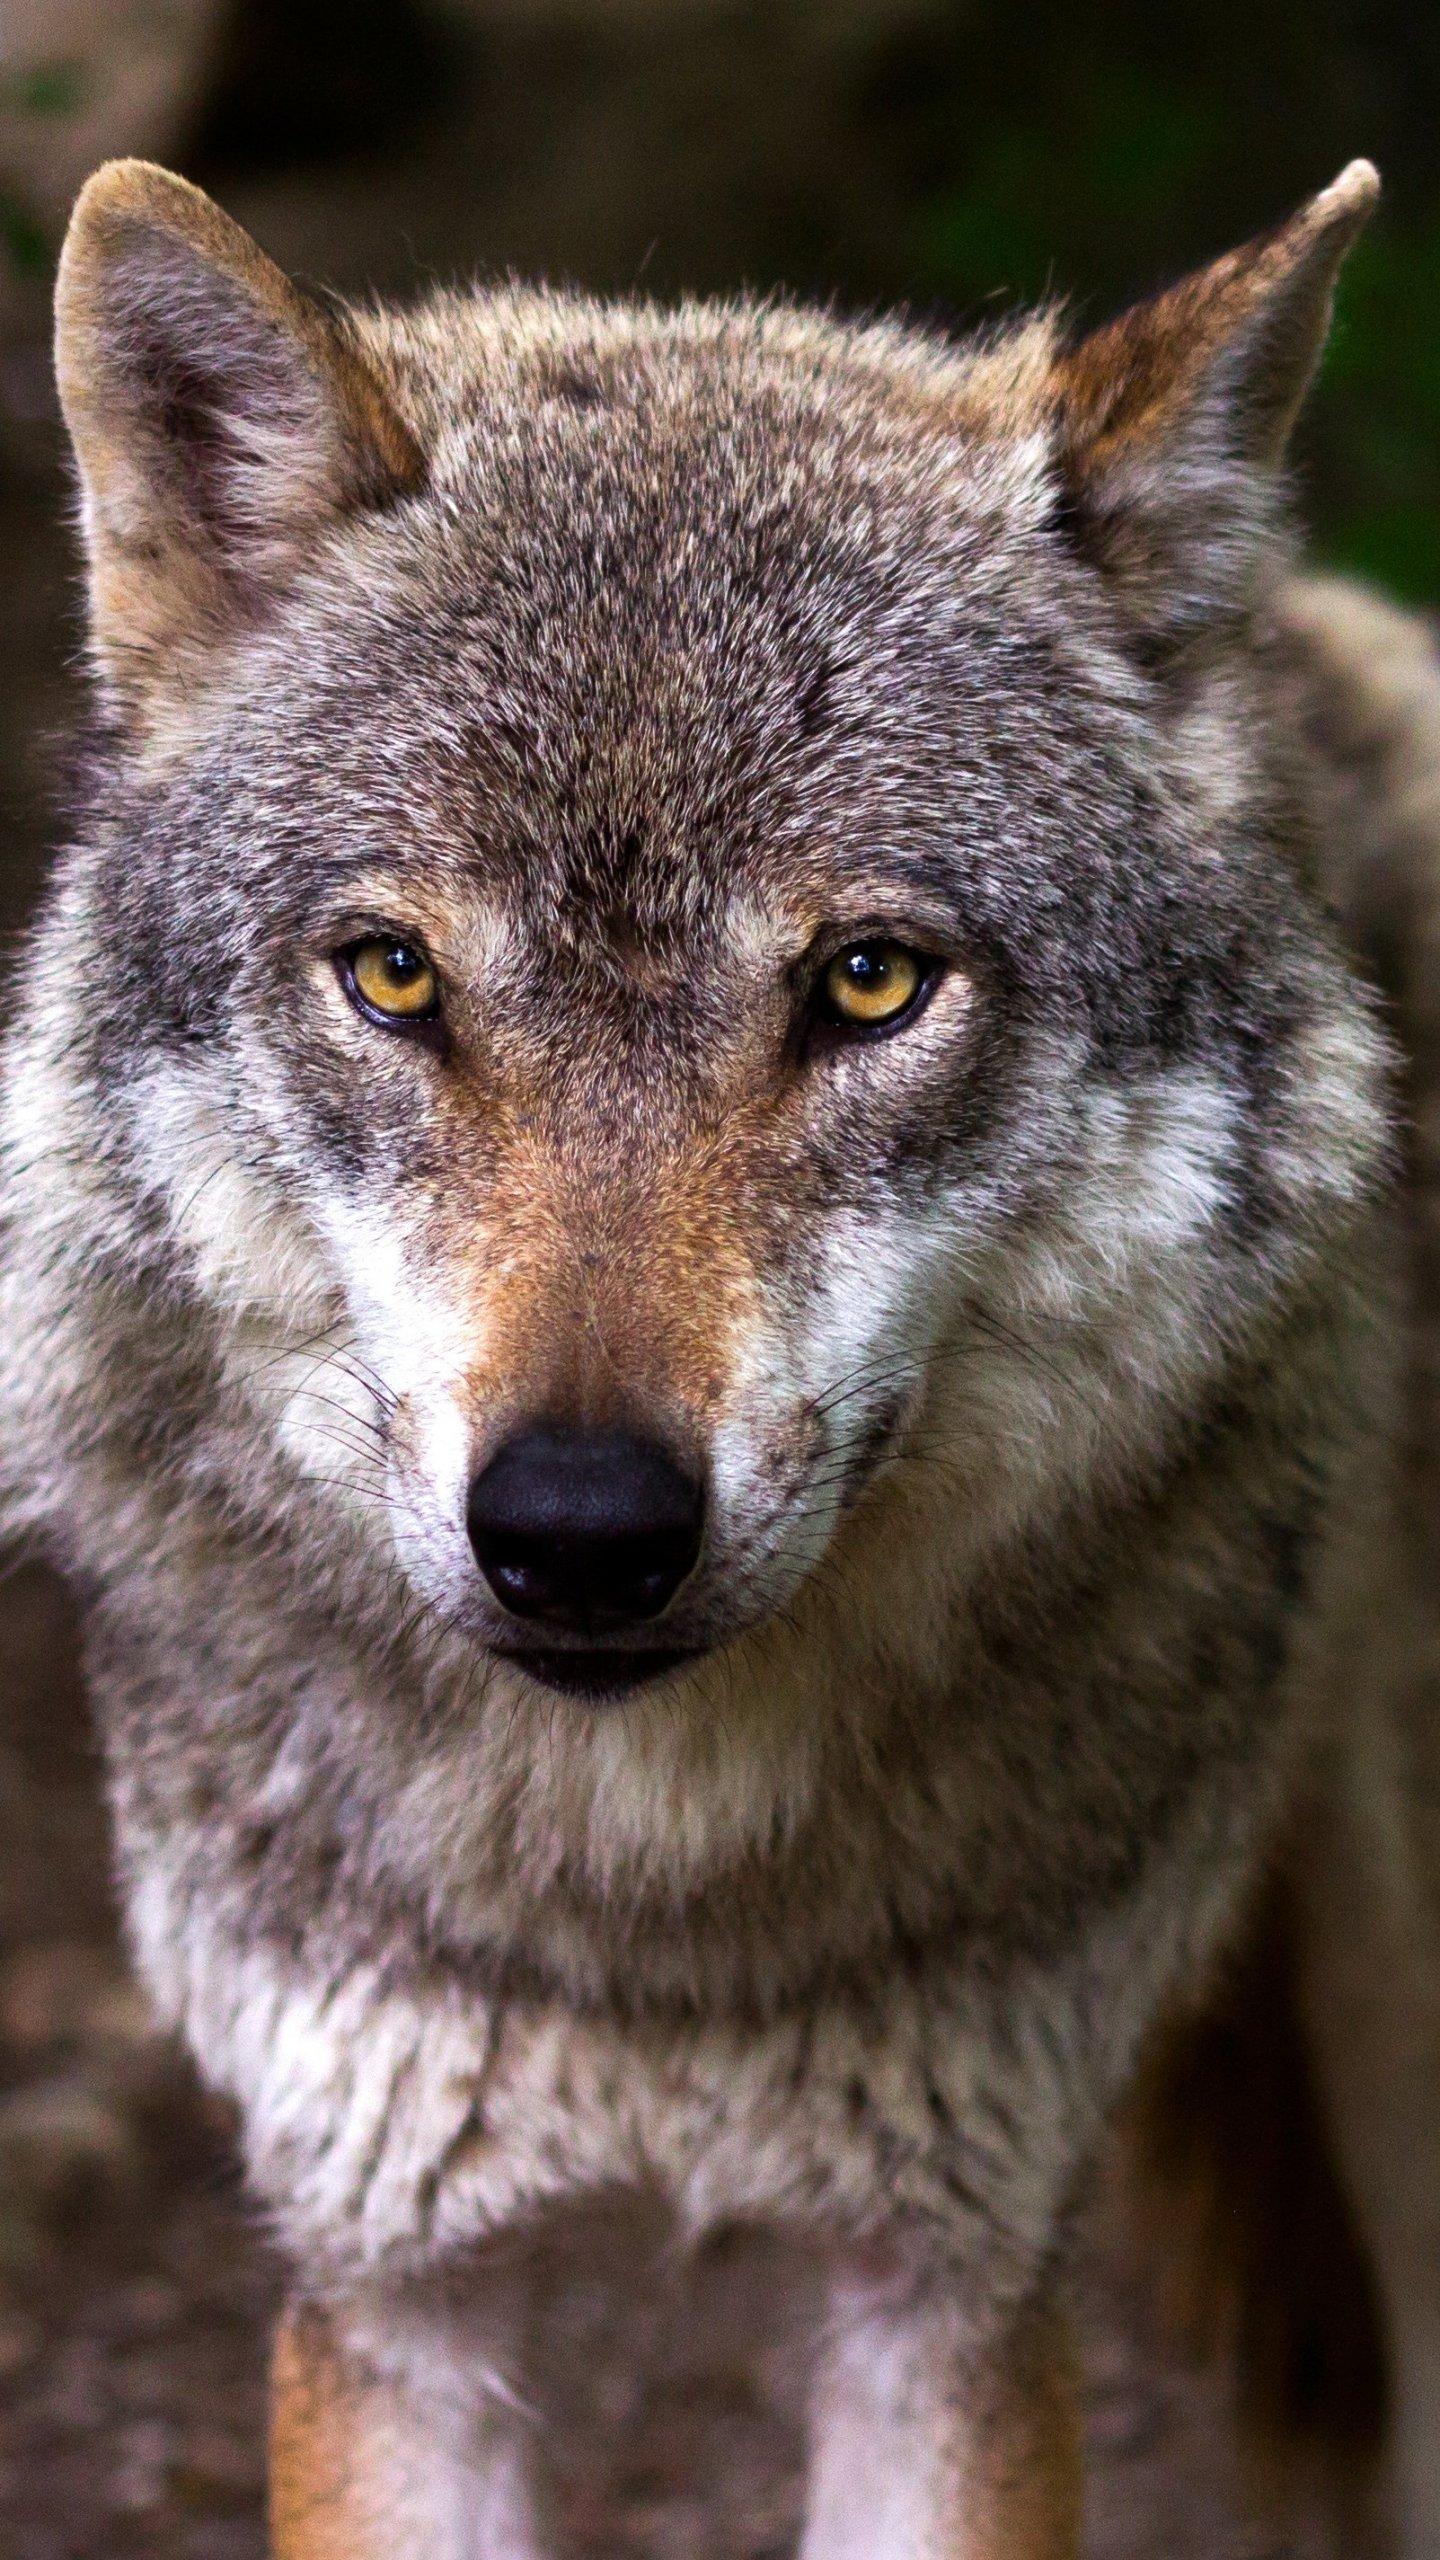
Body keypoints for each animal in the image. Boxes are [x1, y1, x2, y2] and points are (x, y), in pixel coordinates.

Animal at [2, 146, 1438, 2556]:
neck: (650, 1908)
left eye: (869, 982)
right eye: (394, 975)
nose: (581, 1528)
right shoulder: (390, 2281)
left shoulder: (947, 2283)